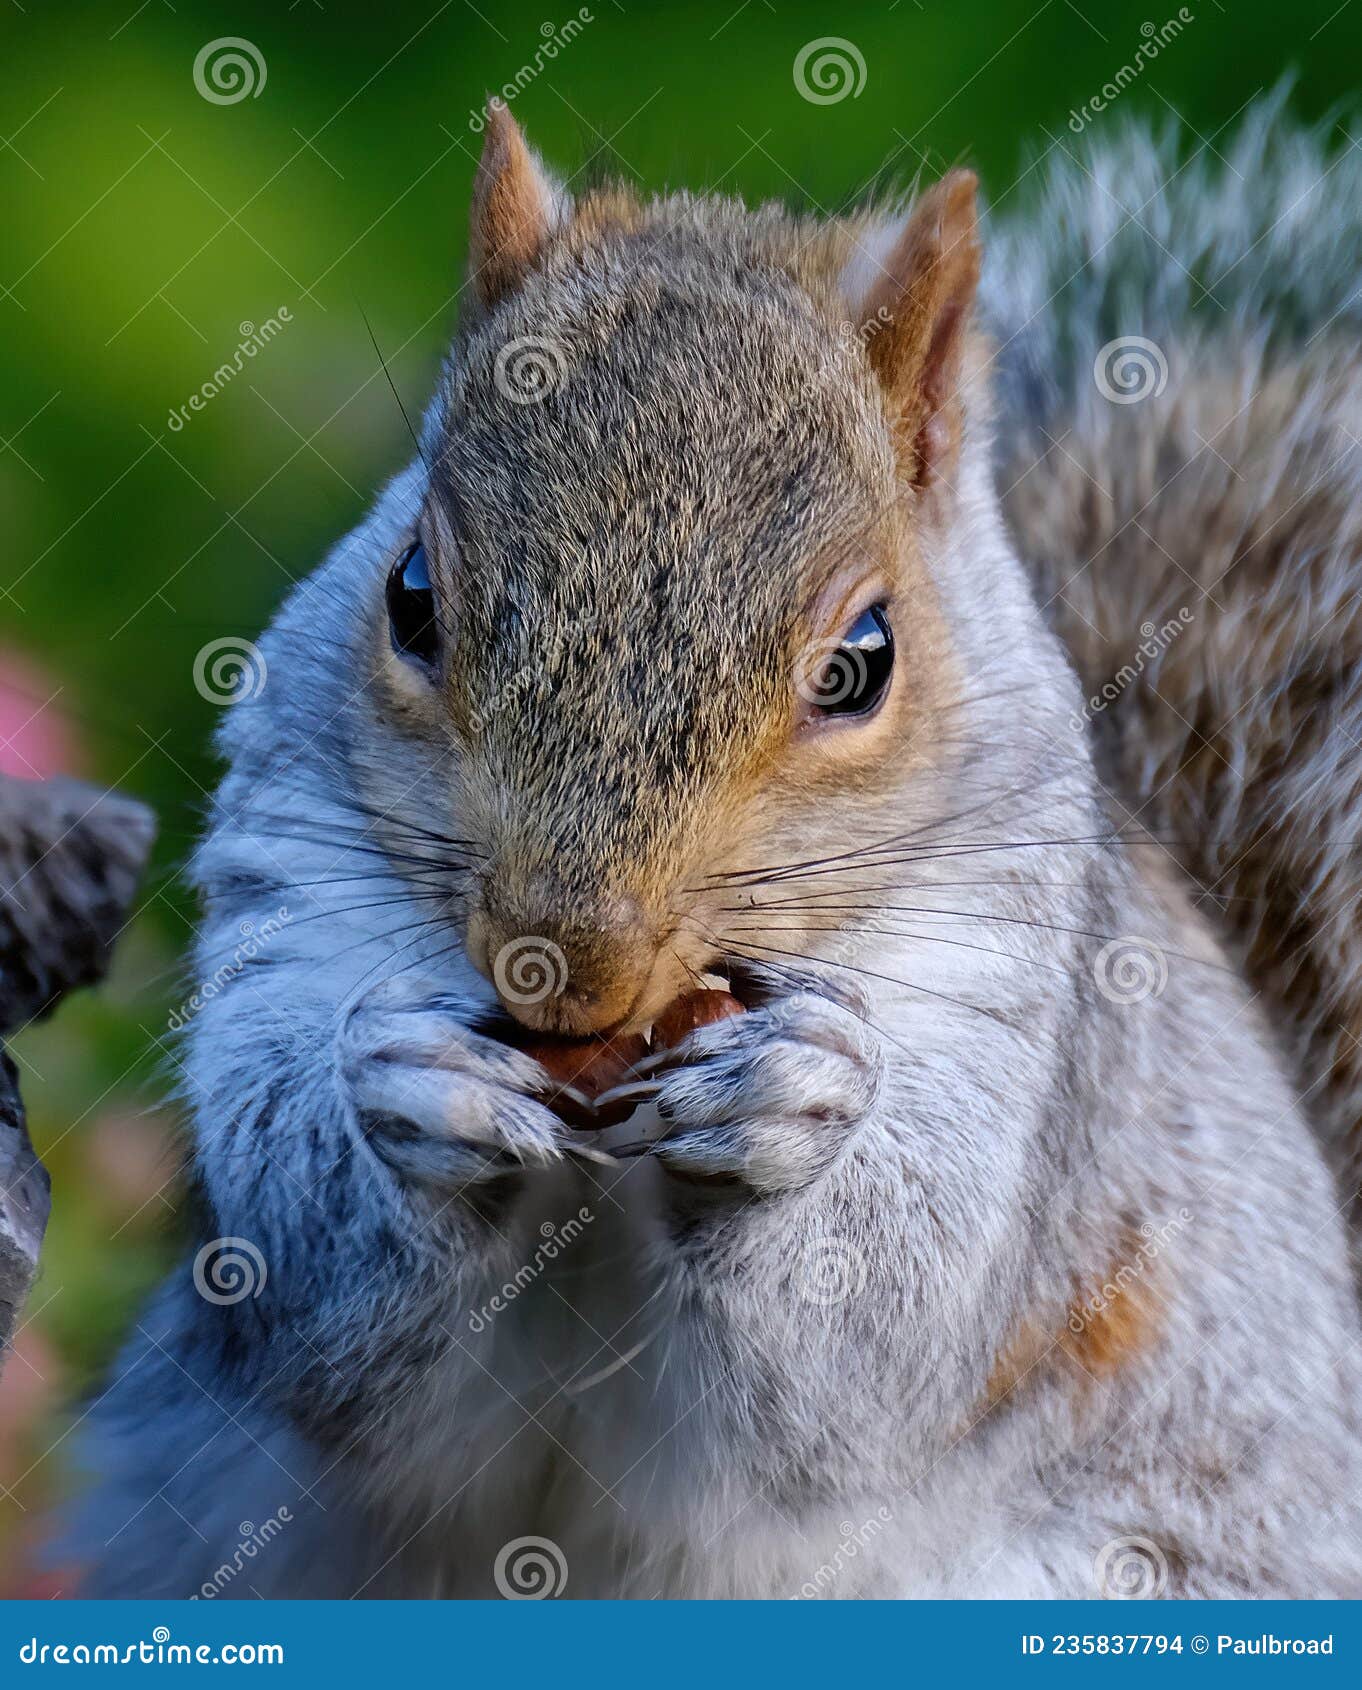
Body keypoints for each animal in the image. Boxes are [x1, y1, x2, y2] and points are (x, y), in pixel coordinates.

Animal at [60, 98, 1362, 1599]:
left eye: (862, 660)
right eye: (411, 594)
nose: (563, 962)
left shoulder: (1035, 1032)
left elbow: (870, 1349)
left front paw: (789, 1109)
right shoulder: (288, 898)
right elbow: (321, 1309)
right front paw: (403, 1090)